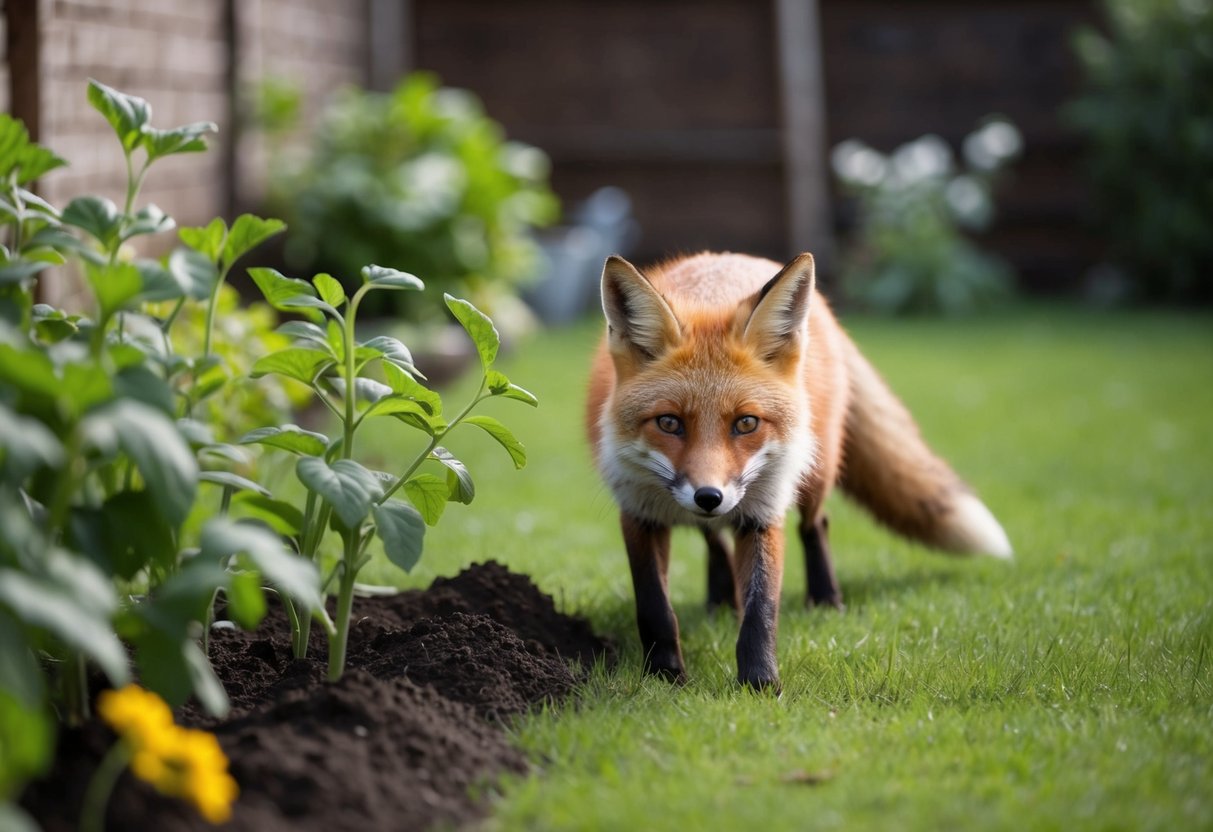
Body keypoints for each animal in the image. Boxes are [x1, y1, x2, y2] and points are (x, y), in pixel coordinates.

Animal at [586, 251, 1012, 690]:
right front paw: (665, 677)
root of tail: (737, 256)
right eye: (669, 423)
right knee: (715, 541)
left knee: (815, 524)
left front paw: (759, 684)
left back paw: (825, 600)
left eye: (746, 423)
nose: (709, 497)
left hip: (814, 472)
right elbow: (654, 608)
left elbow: (762, 609)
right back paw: (721, 602)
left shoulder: (762, 511)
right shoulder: (637, 512)